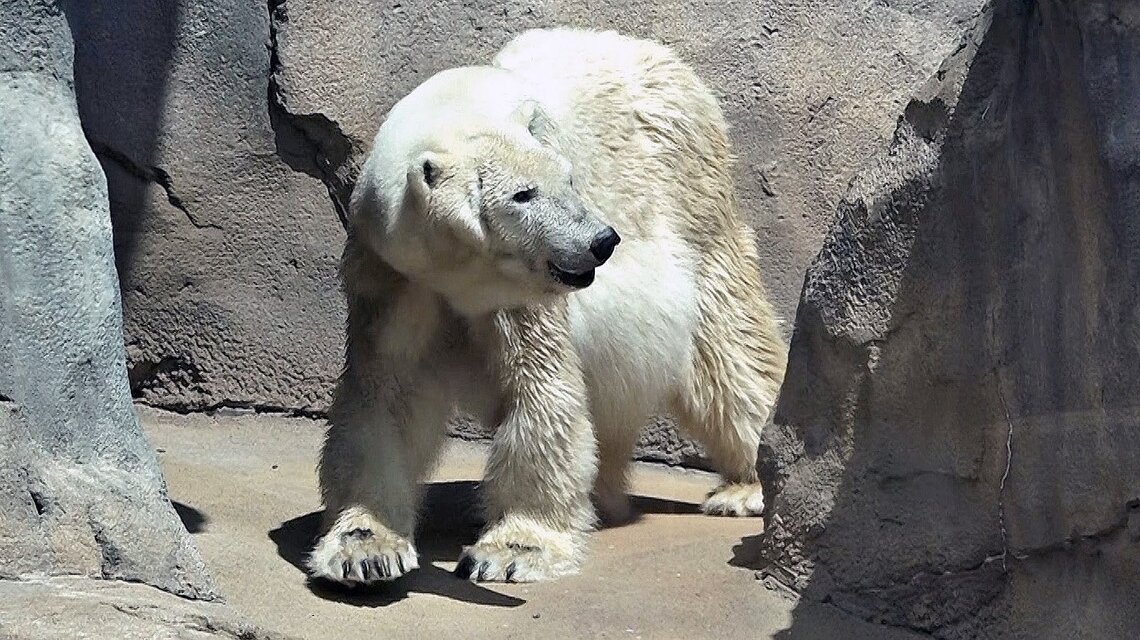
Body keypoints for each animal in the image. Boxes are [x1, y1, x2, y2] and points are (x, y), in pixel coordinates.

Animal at [306, 27, 787, 585]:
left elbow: (541, 392)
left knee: (729, 348)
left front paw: (510, 551)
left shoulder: (526, 286)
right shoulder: (395, 281)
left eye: (569, 179)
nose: (602, 241)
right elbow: (385, 399)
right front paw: (365, 549)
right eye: (523, 194)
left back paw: (747, 487)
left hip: (694, 205)